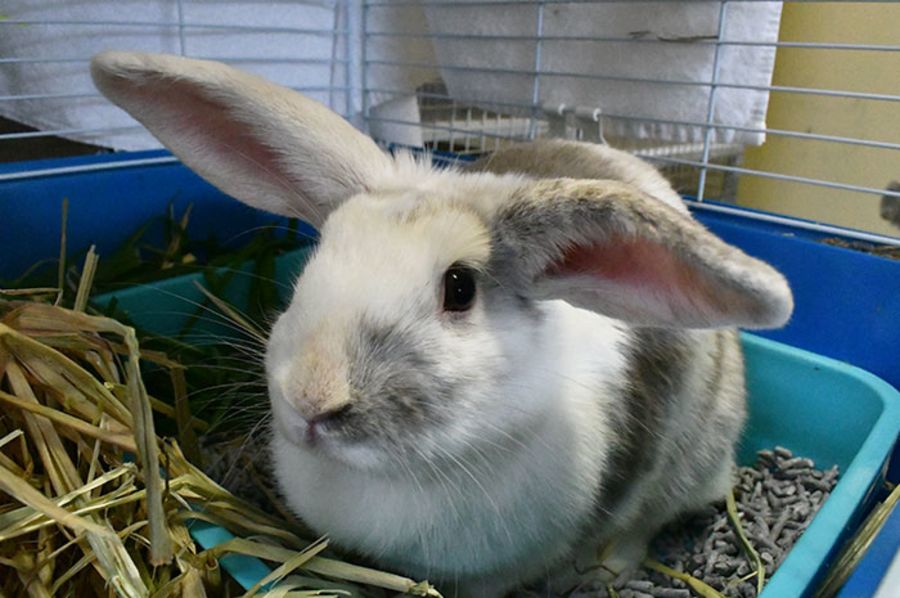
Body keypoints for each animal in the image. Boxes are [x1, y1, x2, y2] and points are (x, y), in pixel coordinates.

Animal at [91, 51, 793, 596]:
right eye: (317, 259)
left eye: (459, 288)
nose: (312, 400)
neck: (394, 472)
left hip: (690, 460)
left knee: (649, 516)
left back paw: (607, 568)